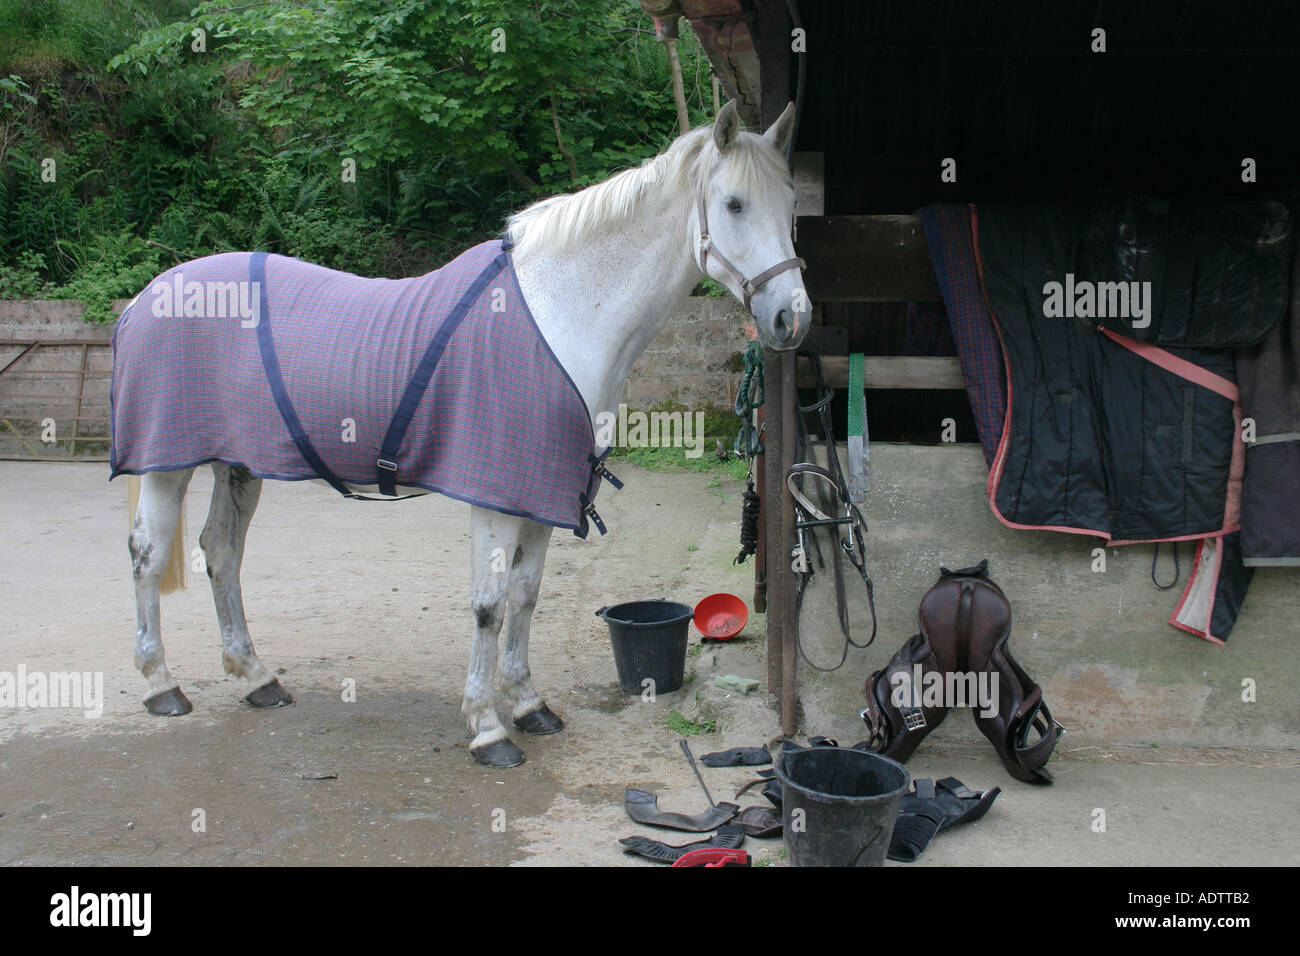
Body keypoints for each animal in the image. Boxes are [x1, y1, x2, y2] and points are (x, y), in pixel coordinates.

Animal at [114, 100, 810, 767]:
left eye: (791, 204)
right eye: (734, 204)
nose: (792, 318)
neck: (560, 315)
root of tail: (144, 298)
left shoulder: (542, 494)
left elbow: (526, 597)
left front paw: (528, 705)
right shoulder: (497, 496)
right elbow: (489, 604)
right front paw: (487, 729)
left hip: (236, 464)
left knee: (221, 552)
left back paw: (257, 677)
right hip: (167, 464)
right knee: (148, 554)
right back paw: (161, 685)